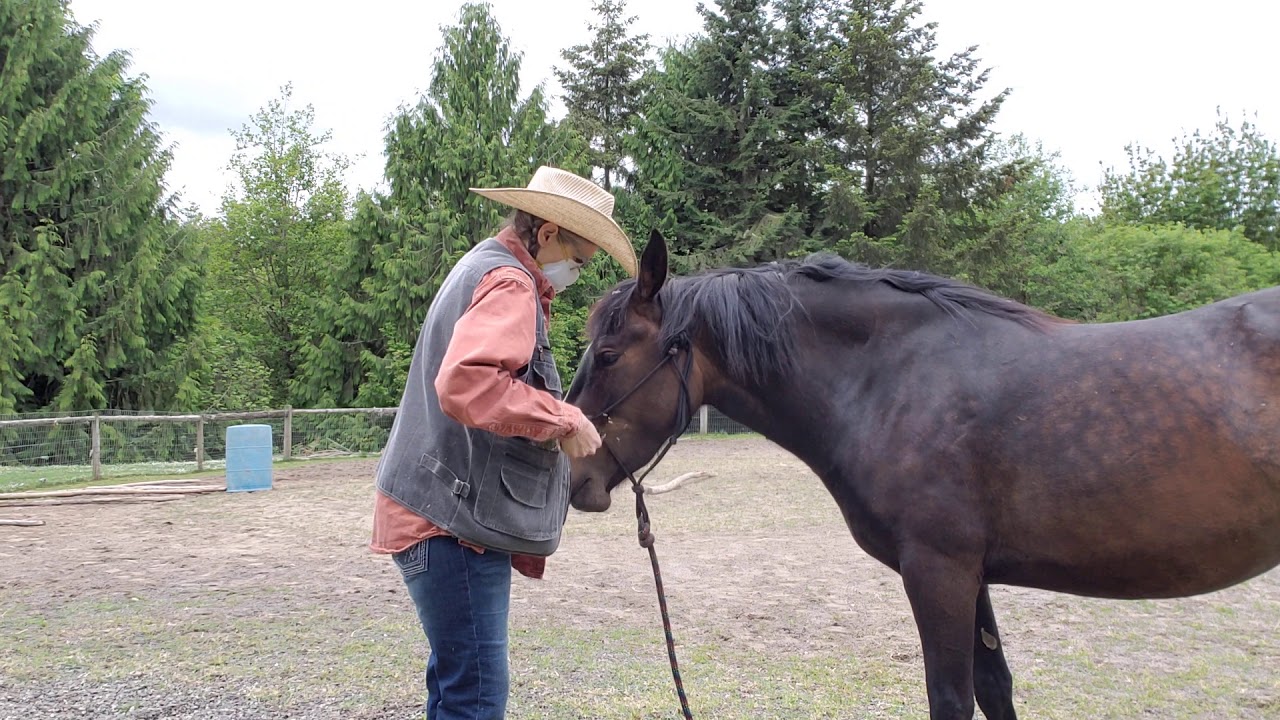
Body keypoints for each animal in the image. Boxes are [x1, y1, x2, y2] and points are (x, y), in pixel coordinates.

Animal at [564, 229, 1280, 720]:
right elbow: (994, 688)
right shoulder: (973, 575)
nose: (574, 477)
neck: (894, 379)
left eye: (609, 354)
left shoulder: (940, 570)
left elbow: (951, 697)